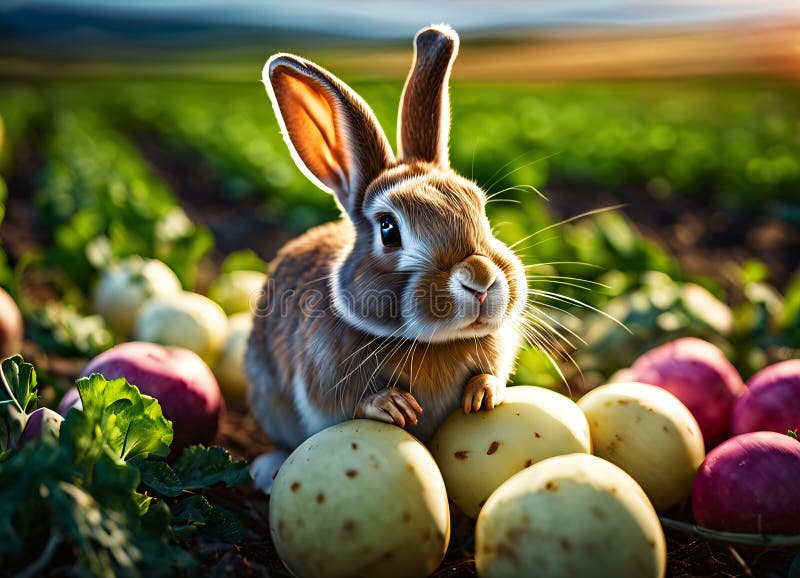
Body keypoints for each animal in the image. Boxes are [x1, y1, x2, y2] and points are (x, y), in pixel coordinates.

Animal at [245, 24, 528, 467]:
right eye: (388, 229)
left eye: (481, 210)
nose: (480, 280)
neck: (431, 344)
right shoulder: (323, 382)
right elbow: (347, 405)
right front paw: (392, 405)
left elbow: (491, 375)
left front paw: (485, 392)